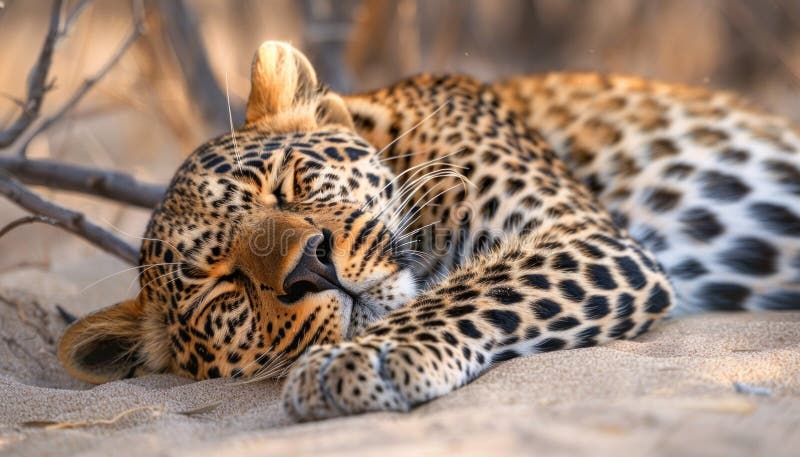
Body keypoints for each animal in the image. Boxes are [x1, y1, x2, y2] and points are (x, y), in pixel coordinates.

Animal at [58, 41, 800, 421]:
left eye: (286, 181)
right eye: (222, 288)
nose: (311, 264)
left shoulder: (581, 235)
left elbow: (472, 289)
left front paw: (364, 360)